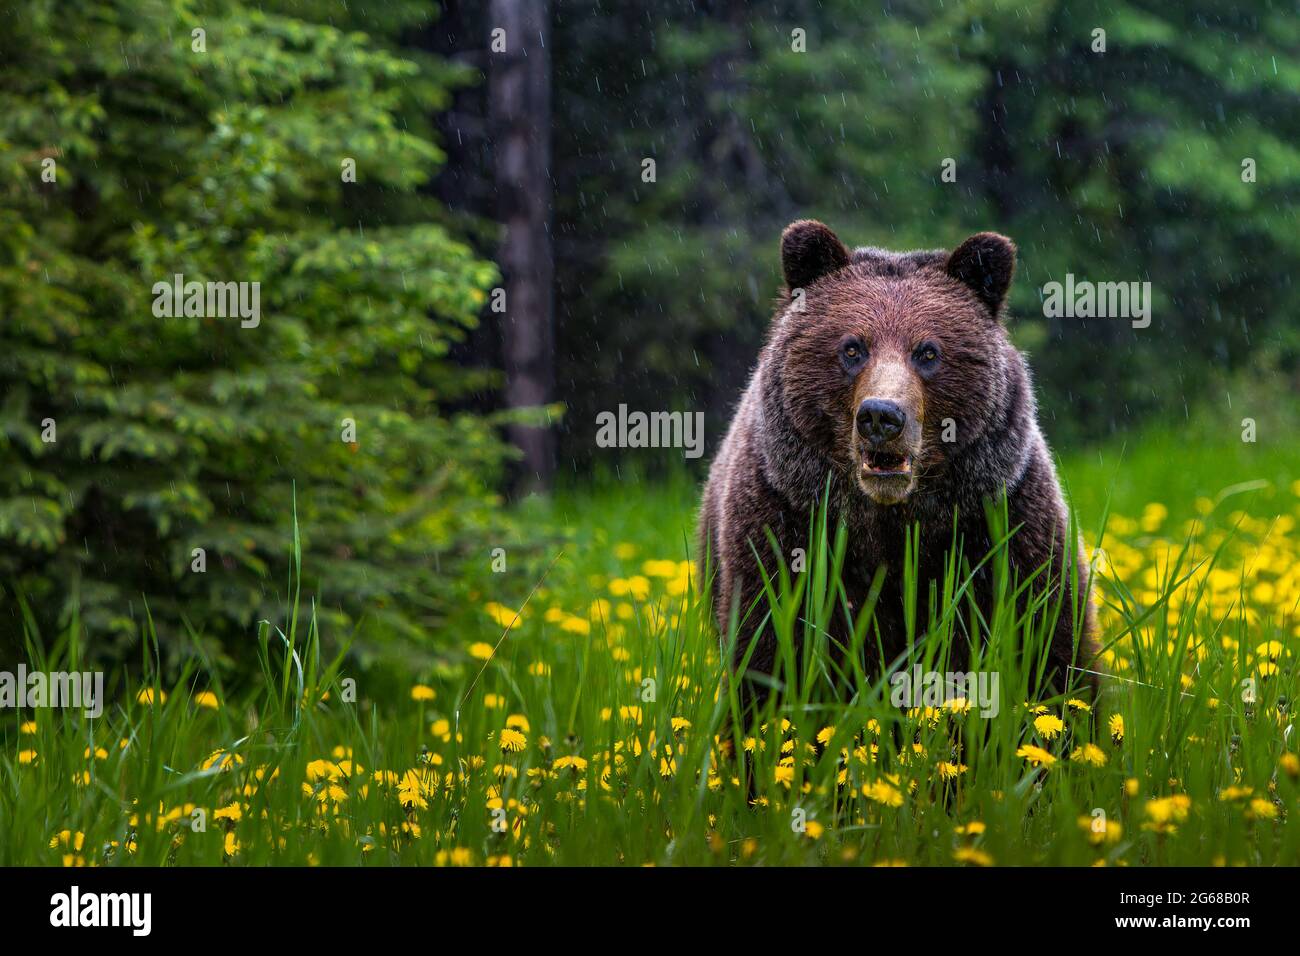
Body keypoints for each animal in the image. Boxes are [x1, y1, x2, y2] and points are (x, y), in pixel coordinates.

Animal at [699, 219, 1097, 711]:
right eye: (852, 349)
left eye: (927, 352)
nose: (881, 416)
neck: (890, 522)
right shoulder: (783, 523)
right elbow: (768, 655)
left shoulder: (1002, 522)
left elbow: (1047, 648)